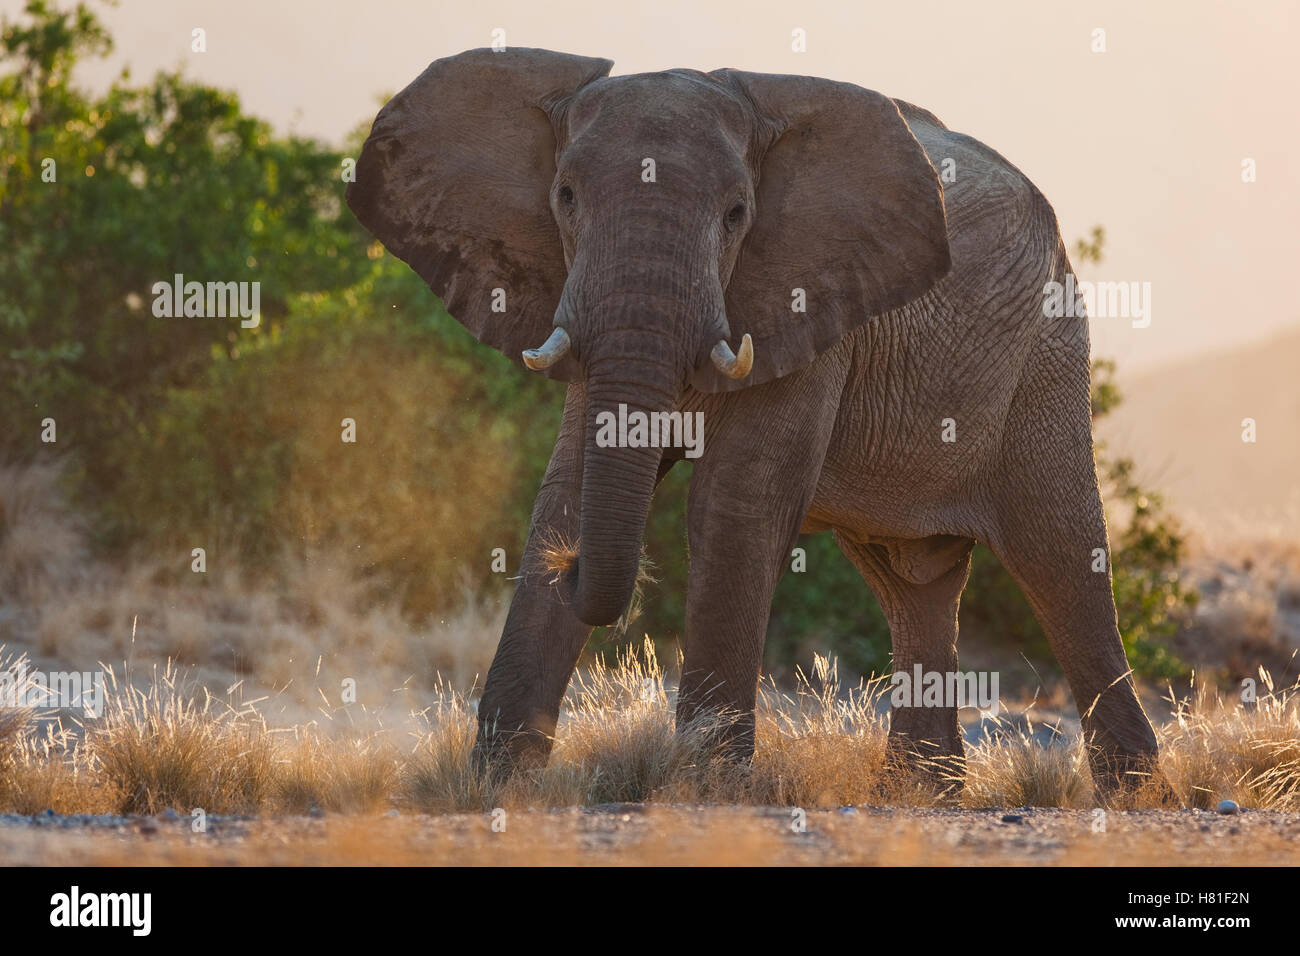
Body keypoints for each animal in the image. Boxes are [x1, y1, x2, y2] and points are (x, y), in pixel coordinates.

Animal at [347, 47, 1172, 802]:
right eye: (566, 197)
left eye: (737, 215)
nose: (571, 567)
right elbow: (566, 484)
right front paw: (496, 786)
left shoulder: (814, 296)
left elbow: (732, 504)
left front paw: (706, 784)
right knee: (915, 580)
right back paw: (920, 794)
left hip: (1046, 354)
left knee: (1058, 557)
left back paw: (1130, 795)